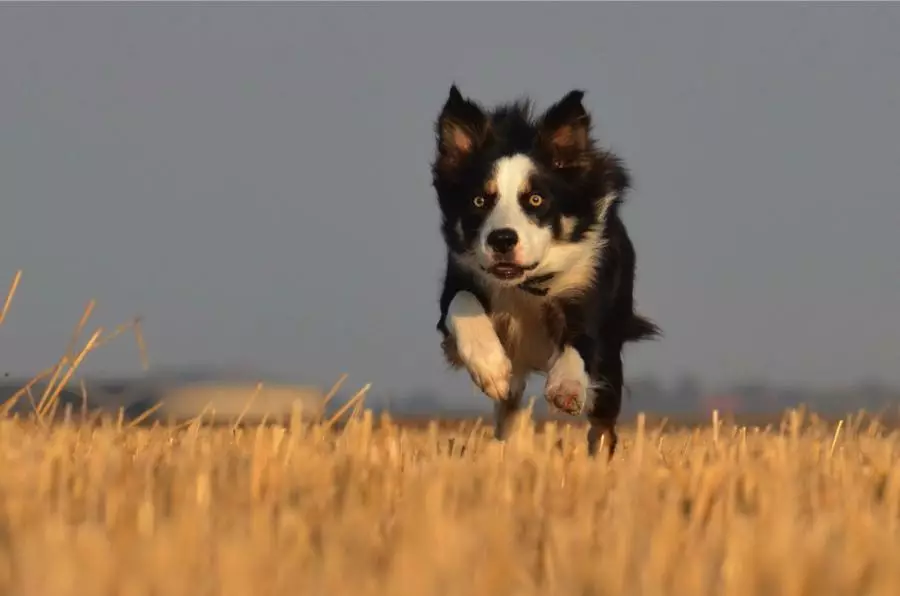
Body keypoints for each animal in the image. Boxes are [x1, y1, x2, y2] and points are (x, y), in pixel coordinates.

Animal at [432, 85, 656, 456]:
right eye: (479, 201)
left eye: (536, 199)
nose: (502, 239)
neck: (526, 284)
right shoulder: (461, 277)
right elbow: (462, 303)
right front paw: (491, 368)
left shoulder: (587, 286)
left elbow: (580, 340)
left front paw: (566, 386)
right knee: (510, 410)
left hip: (612, 360)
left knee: (603, 424)